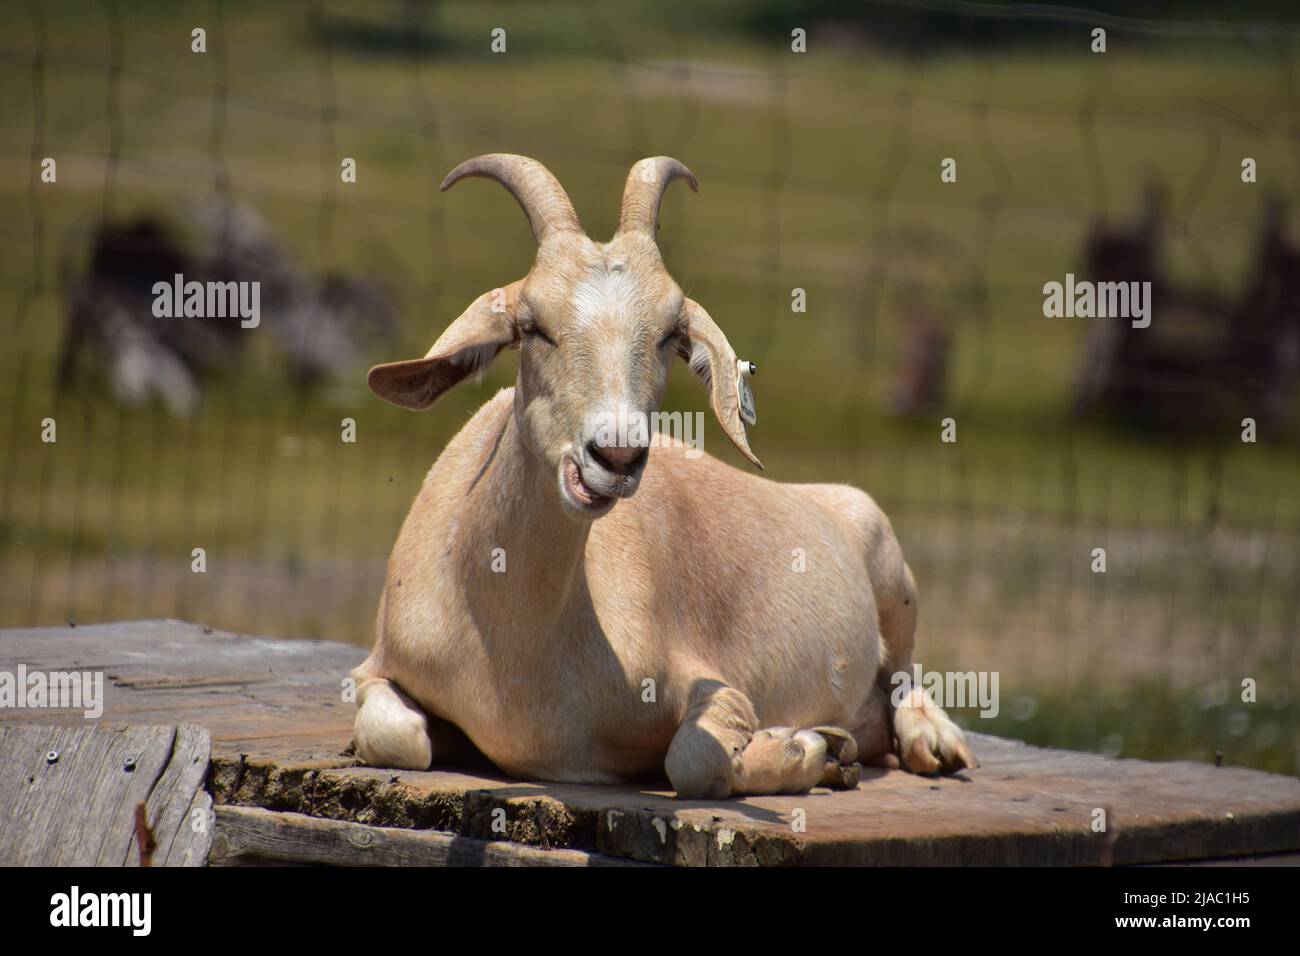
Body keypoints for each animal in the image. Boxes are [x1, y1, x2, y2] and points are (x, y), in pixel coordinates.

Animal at [351, 154, 976, 798]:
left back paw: (932, 743)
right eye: (533, 325)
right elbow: (392, 735)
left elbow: (696, 760)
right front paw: (824, 748)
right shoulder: (379, 666)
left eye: (670, 335)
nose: (615, 456)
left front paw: (811, 747)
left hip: (894, 578)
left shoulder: (713, 686)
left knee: (904, 676)